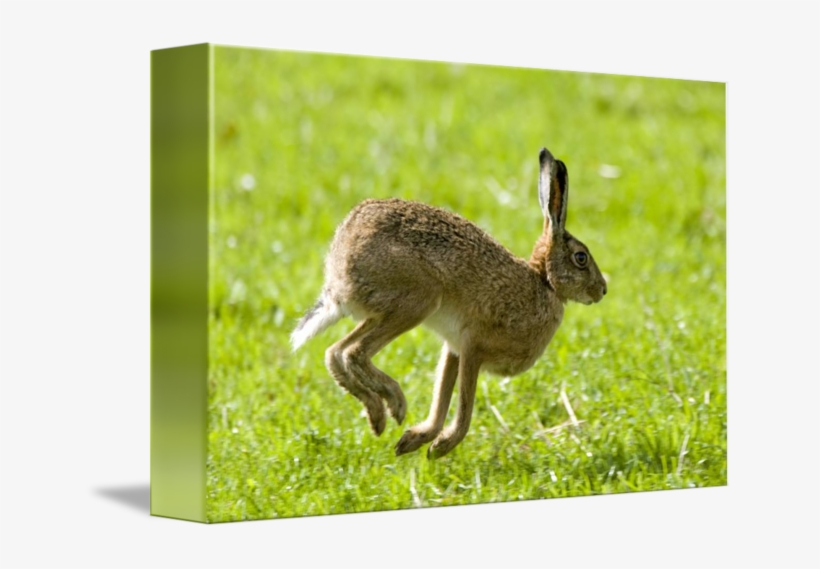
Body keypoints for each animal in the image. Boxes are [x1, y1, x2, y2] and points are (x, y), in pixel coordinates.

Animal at [291, 147, 607, 458]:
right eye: (581, 258)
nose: (602, 290)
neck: (545, 282)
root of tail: (338, 272)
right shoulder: (473, 347)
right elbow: (464, 408)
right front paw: (441, 446)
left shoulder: (454, 349)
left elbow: (441, 396)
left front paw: (416, 440)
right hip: (416, 302)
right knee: (354, 352)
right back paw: (395, 402)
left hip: (382, 312)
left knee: (334, 352)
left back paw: (377, 415)